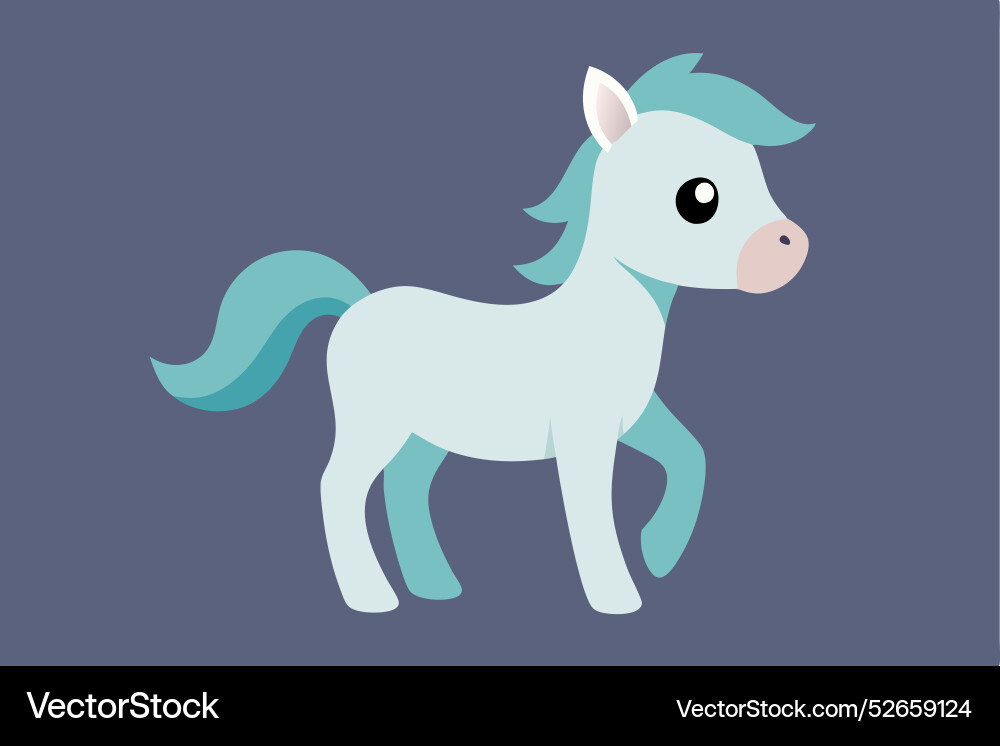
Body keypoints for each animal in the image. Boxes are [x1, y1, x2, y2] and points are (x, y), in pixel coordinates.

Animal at [152, 54, 813, 614]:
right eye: (697, 196)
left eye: (756, 171)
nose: (791, 246)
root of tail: (356, 305)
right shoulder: (584, 433)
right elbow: (590, 509)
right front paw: (617, 597)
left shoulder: (636, 417)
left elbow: (691, 454)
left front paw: (661, 554)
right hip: (374, 424)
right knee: (338, 487)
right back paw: (372, 597)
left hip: (424, 435)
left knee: (404, 487)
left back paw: (434, 587)